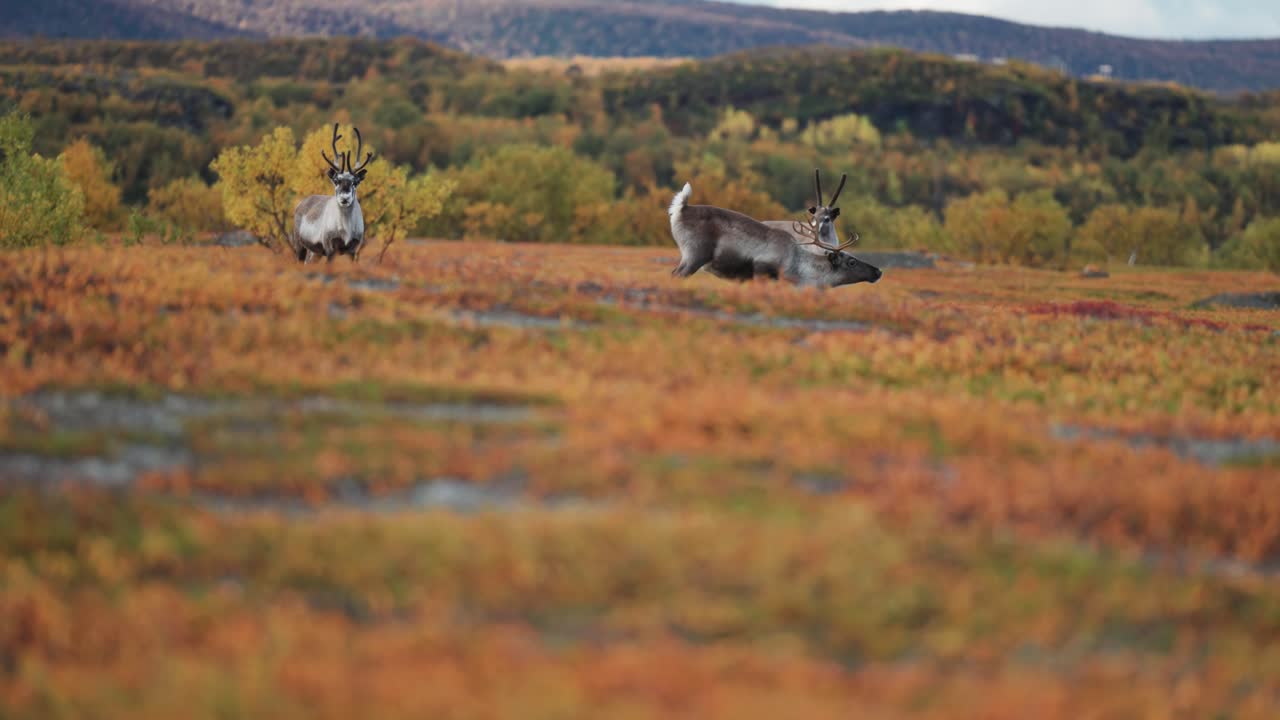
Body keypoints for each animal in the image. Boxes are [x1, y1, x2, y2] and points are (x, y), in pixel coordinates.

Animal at [290, 123, 373, 264]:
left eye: (355, 182)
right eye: (336, 180)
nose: (344, 198)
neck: (346, 231)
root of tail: (301, 203)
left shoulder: (353, 248)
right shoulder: (329, 247)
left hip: (315, 253)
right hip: (299, 244)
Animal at [667, 181, 881, 288]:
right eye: (851, 261)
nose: (878, 271)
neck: (797, 265)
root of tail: (681, 208)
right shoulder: (761, 270)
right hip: (695, 254)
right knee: (675, 275)